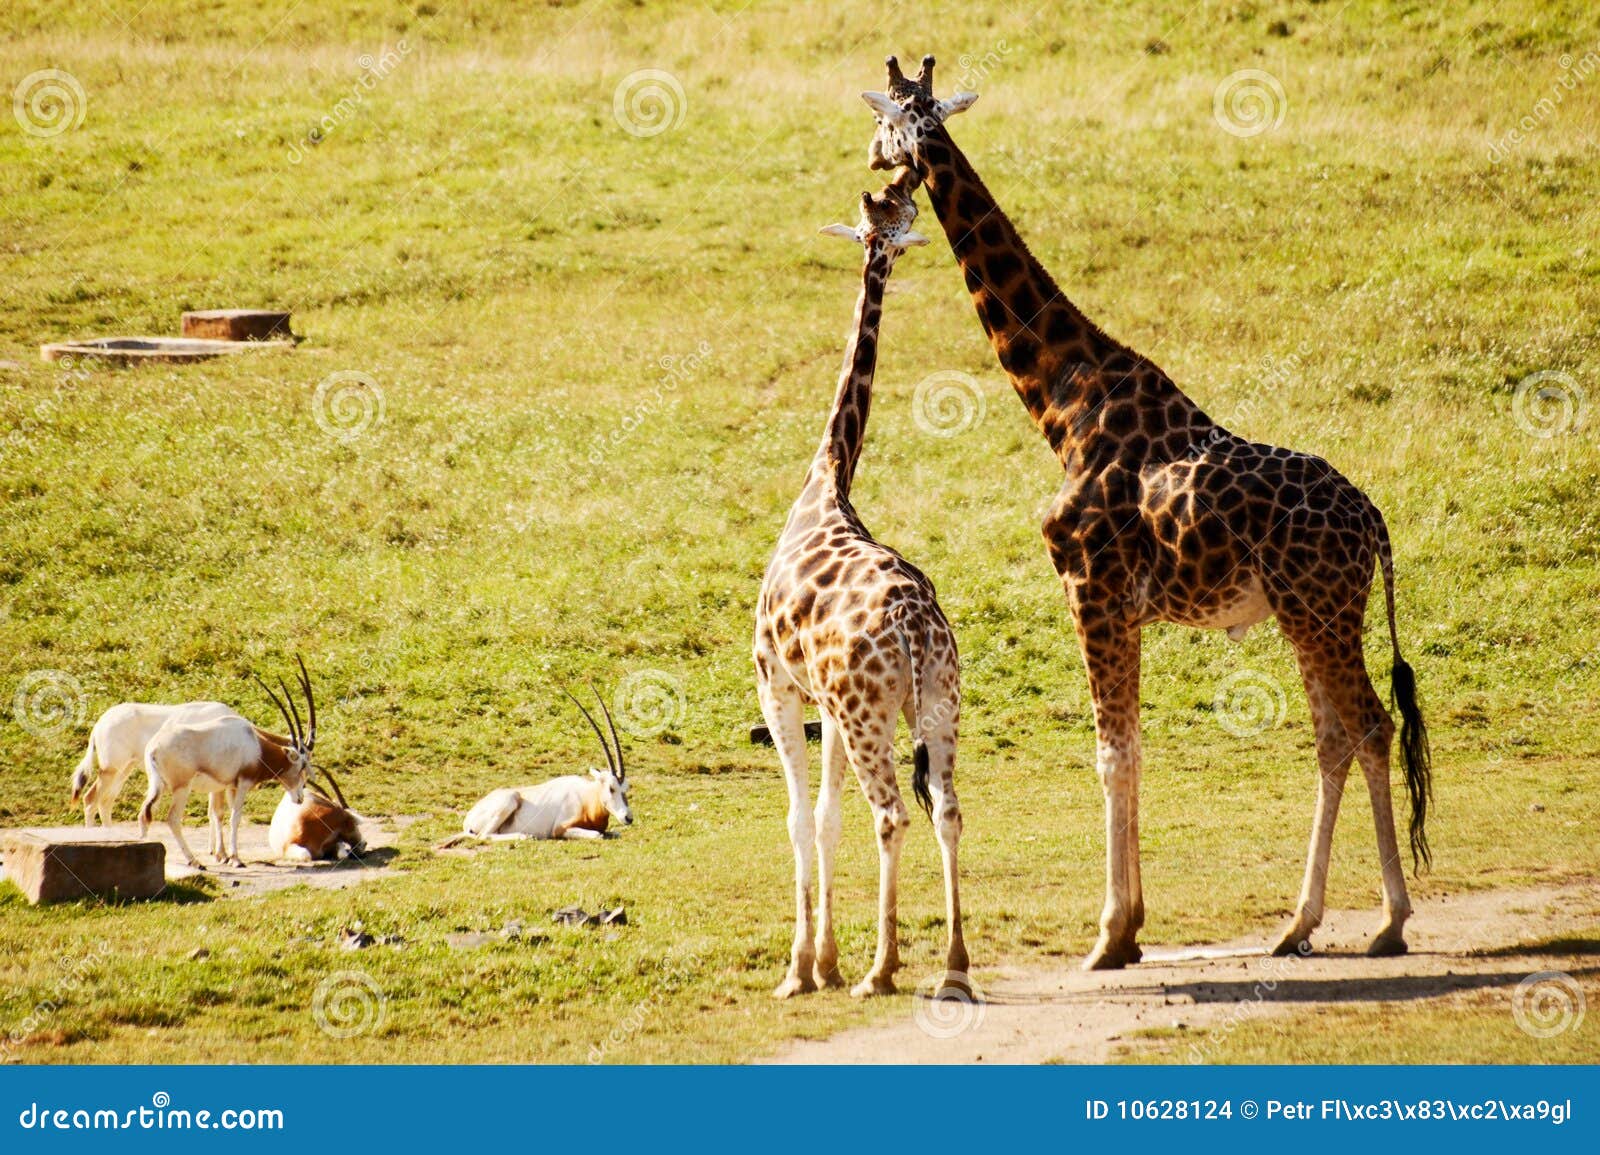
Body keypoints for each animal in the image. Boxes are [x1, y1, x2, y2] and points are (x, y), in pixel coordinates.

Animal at [754, 181, 969, 1000]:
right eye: (895, 219)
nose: (885, 250)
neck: (827, 480)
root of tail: (913, 627)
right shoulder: (829, 706)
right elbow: (826, 815)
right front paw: (824, 959)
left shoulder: (779, 686)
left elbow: (799, 818)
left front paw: (800, 970)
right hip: (936, 701)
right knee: (947, 809)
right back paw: (953, 962)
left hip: (868, 710)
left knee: (893, 815)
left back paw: (882, 970)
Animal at [860, 55, 1432, 969]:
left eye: (884, 123)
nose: (882, 165)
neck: (1063, 398)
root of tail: (1375, 523)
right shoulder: (1120, 603)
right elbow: (1129, 747)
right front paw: (1127, 929)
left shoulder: (1089, 587)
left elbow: (1111, 752)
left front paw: (1110, 933)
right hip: (1310, 614)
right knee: (1336, 735)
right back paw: (1297, 923)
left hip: (1320, 609)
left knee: (1371, 726)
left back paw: (1390, 921)